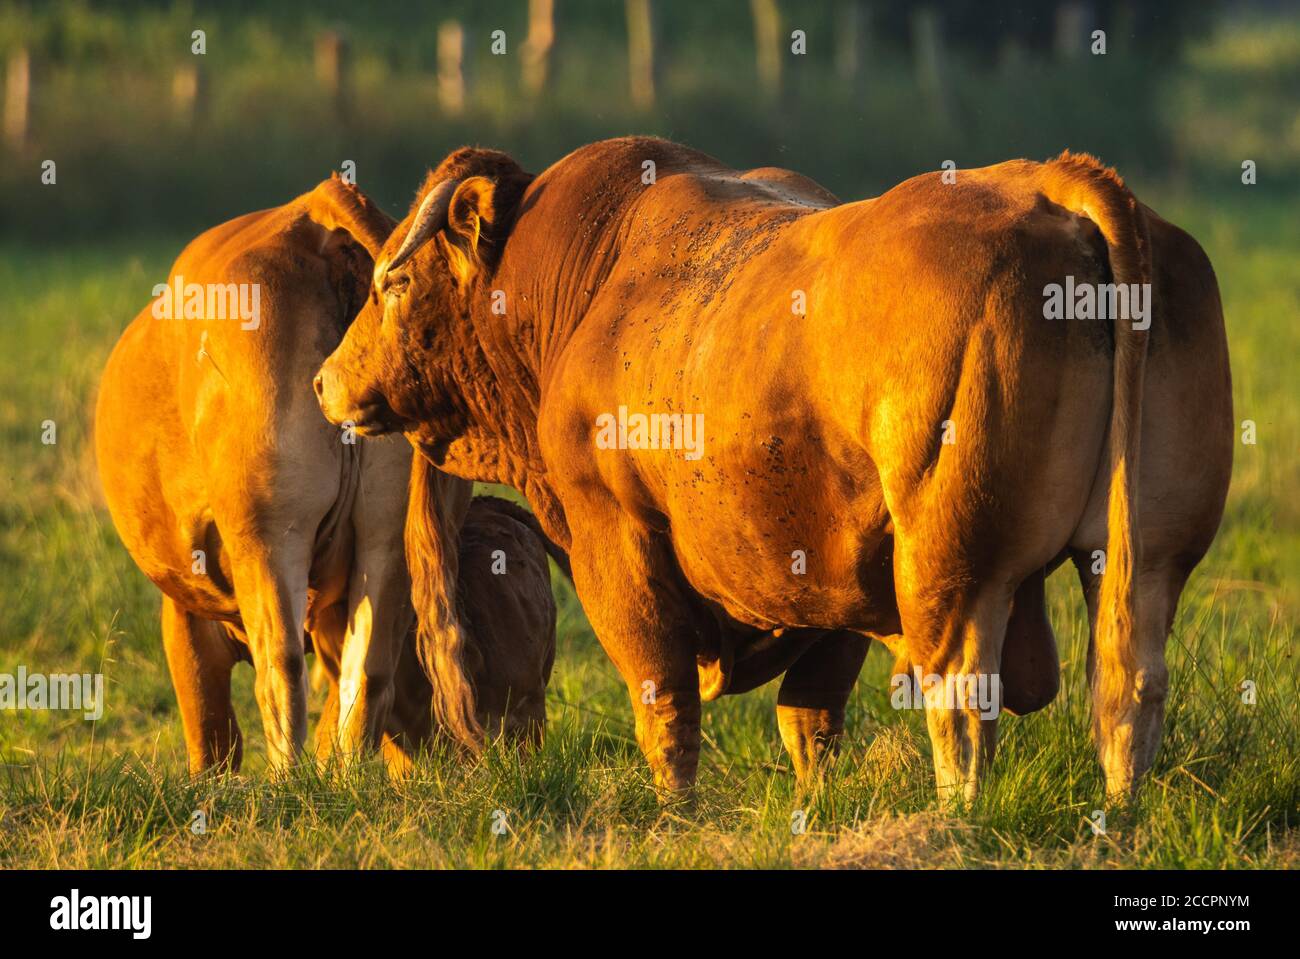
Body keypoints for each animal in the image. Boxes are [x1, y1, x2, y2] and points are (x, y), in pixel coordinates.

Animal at [95, 177, 557, 775]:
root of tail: (319, 212)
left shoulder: (187, 610)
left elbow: (211, 733)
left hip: (269, 534)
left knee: (282, 667)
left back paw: (289, 782)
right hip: (389, 541)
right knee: (369, 672)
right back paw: (349, 777)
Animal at [314, 138, 1232, 802]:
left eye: (395, 279)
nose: (325, 380)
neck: (579, 285)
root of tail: (1050, 183)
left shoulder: (617, 538)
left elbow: (663, 697)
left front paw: (675, 815)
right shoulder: (836, 569)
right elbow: (810, 720)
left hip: (953, 569)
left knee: (963, 701)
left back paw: (959, 821)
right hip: (1148, 556)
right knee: (1131, 683)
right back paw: (1118, 817)